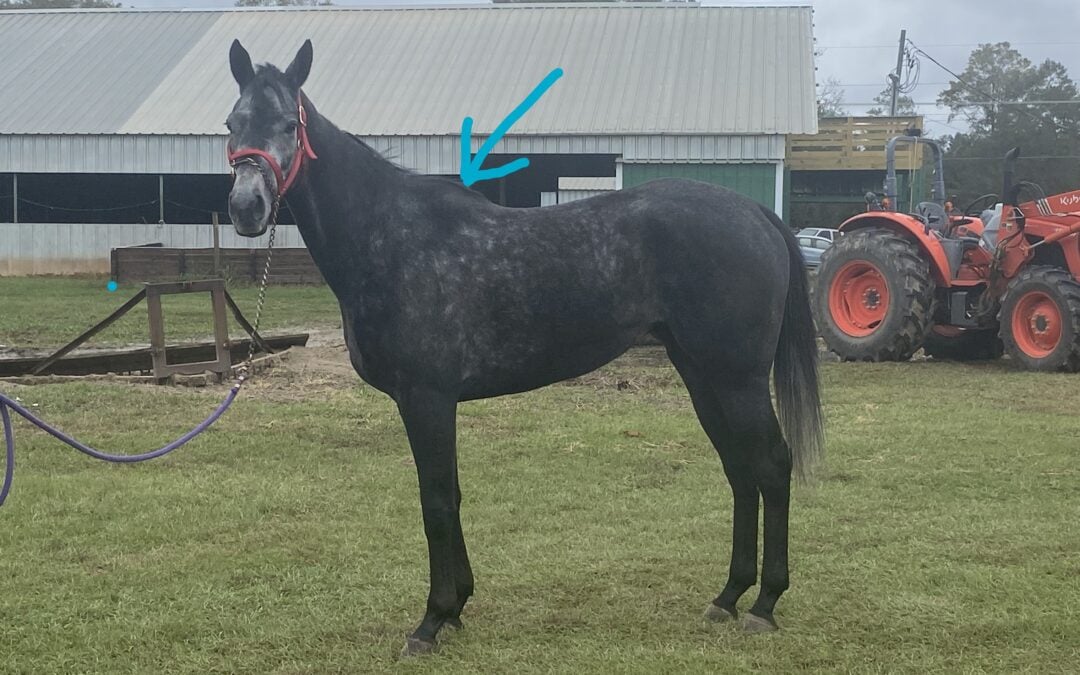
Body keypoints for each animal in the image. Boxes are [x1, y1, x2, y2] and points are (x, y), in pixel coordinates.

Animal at [225, 40, 823, 656]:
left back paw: (765, 604)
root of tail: (755, 213)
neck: (389, 238)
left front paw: (432, 620)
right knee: (739, 469)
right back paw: (728, 596)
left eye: (287, 124)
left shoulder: (426, 399)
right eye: (232, 123)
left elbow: (437, 500)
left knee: (772, 465)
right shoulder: (432, 402)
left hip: (738, 378)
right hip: (702, 374)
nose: (247, 207)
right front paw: (458, 606)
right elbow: (450, 495)